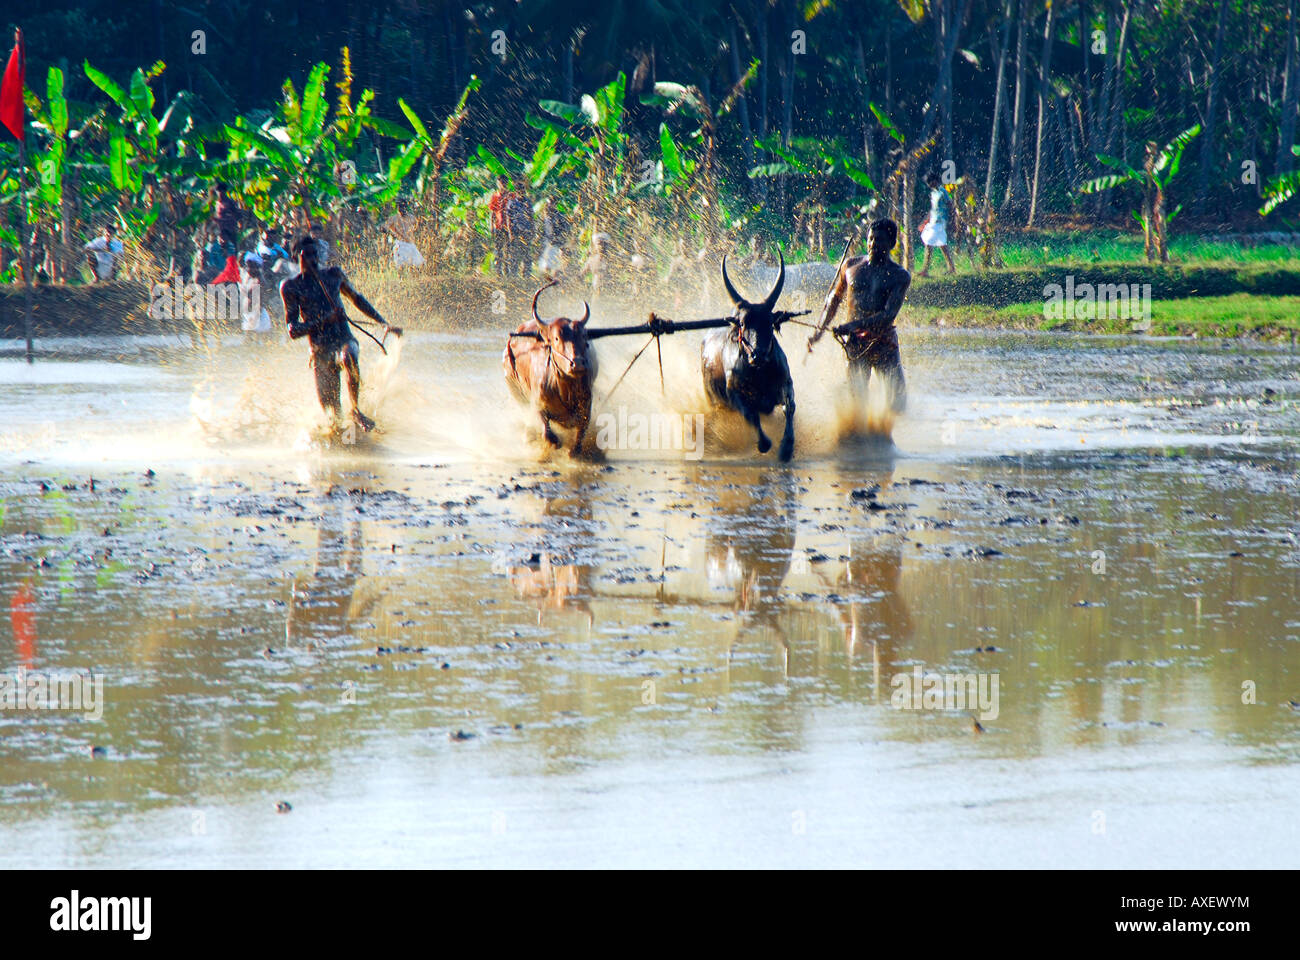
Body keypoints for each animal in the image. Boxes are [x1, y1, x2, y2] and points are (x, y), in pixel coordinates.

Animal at [503, 280, 598, 457]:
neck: (565, 387)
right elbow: (549, 436)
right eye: (556, 338)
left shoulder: (586, 407)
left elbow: (579, 438)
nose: (578, 364)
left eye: (583, 336)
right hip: (516, 392)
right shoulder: (537, 405)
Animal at [700, 251, 796, 461]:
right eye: (743, 323)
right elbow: (751, 415)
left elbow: (789, 408)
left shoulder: (786, 383)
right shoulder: (735, 394)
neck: (759, 373)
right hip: (713, 401)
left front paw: (786, 448)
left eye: (769, 322)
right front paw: (763, 444)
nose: (757, 355)